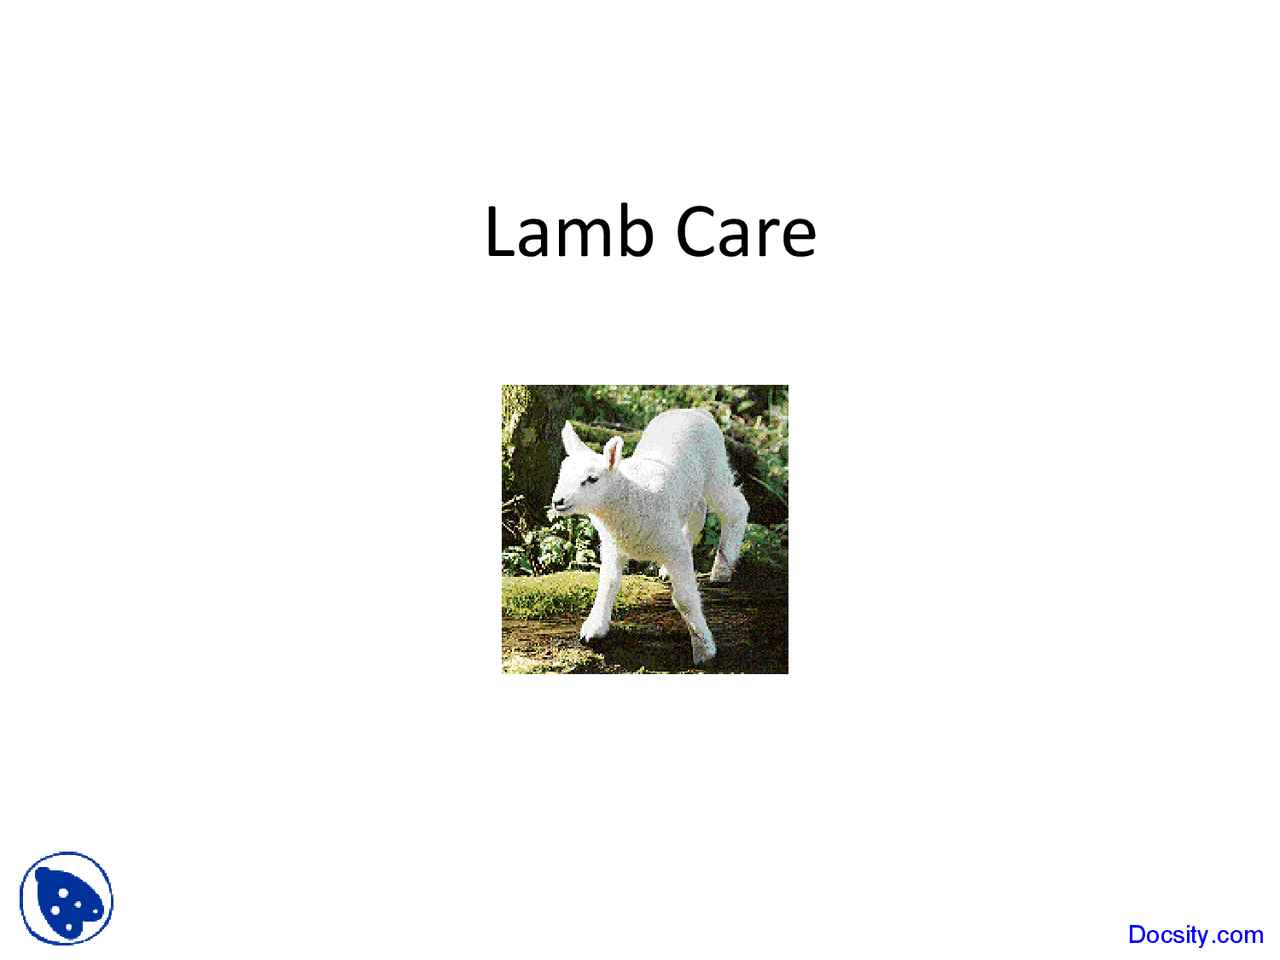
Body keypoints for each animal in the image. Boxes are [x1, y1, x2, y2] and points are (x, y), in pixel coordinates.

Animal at [552, 409, 749, 665]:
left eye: (592, 479)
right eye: (562, 473)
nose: (558, 501)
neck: (632, 494)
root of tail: (695, 410)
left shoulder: (675, 550)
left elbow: (685, 599)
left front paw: (704, 649)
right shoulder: (613, 545)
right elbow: (607, 583)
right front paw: (595, 628)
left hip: (715, 467)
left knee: (735, 507)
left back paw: (723, 567)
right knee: (697, 512)